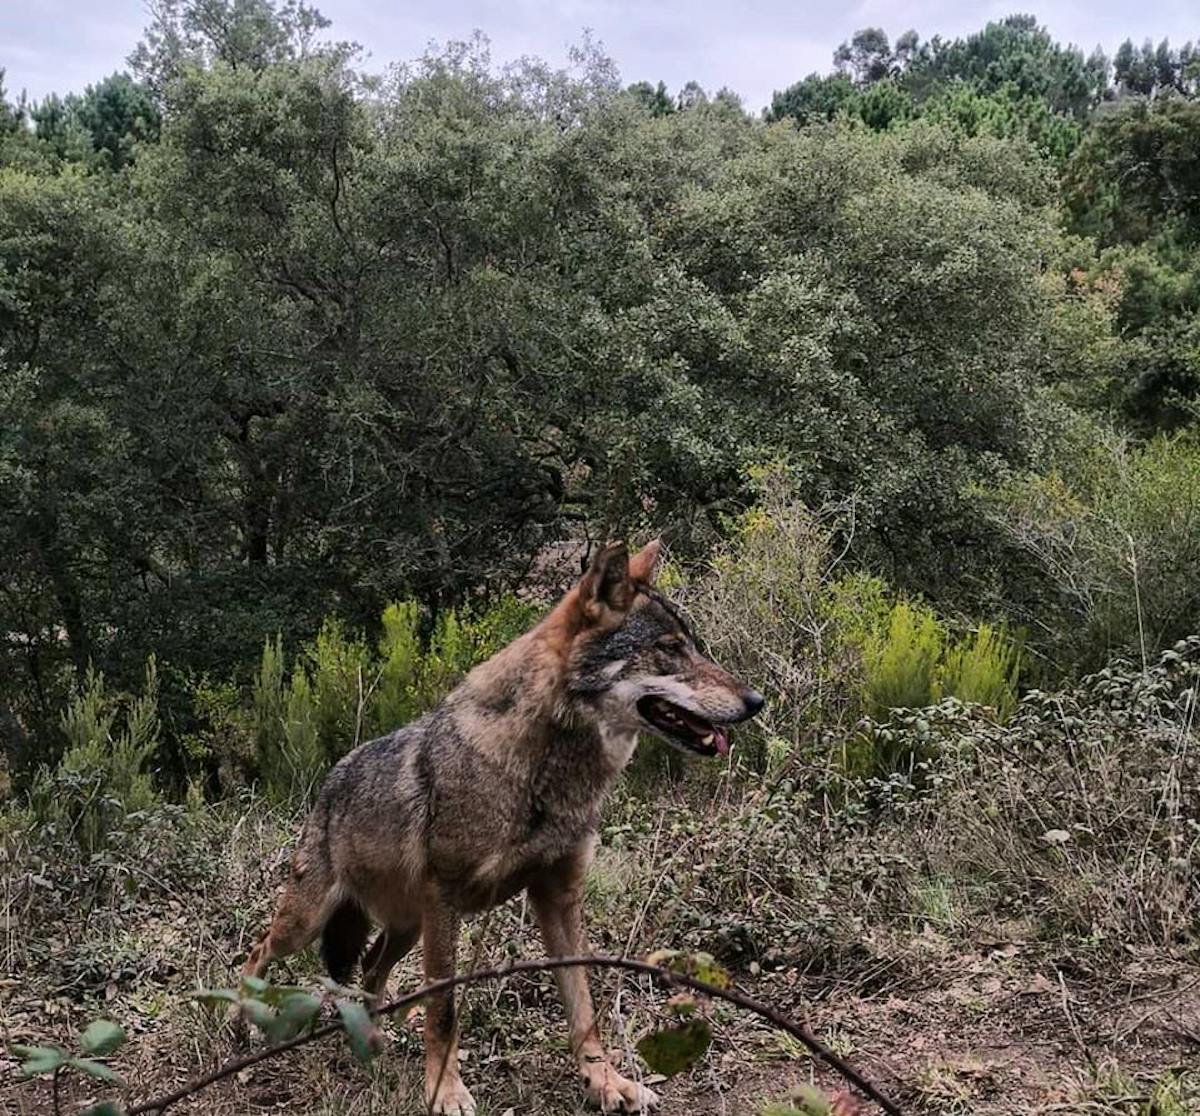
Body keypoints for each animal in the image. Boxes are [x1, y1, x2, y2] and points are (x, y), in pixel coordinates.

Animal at [243, 539, 764, 1113]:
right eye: (670, 649)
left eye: (693, 646)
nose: (756, 701)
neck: (544, 772)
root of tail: (330, 780)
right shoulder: (445, 900)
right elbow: (444, 1011)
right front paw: (445, 1091)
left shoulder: (558, 896)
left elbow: (584, 1008)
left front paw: (607, 1083)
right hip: (310, 921)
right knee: (258, 950)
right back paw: (244, 1025)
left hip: (405, 927)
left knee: (373, 968)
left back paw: (375, 1042)